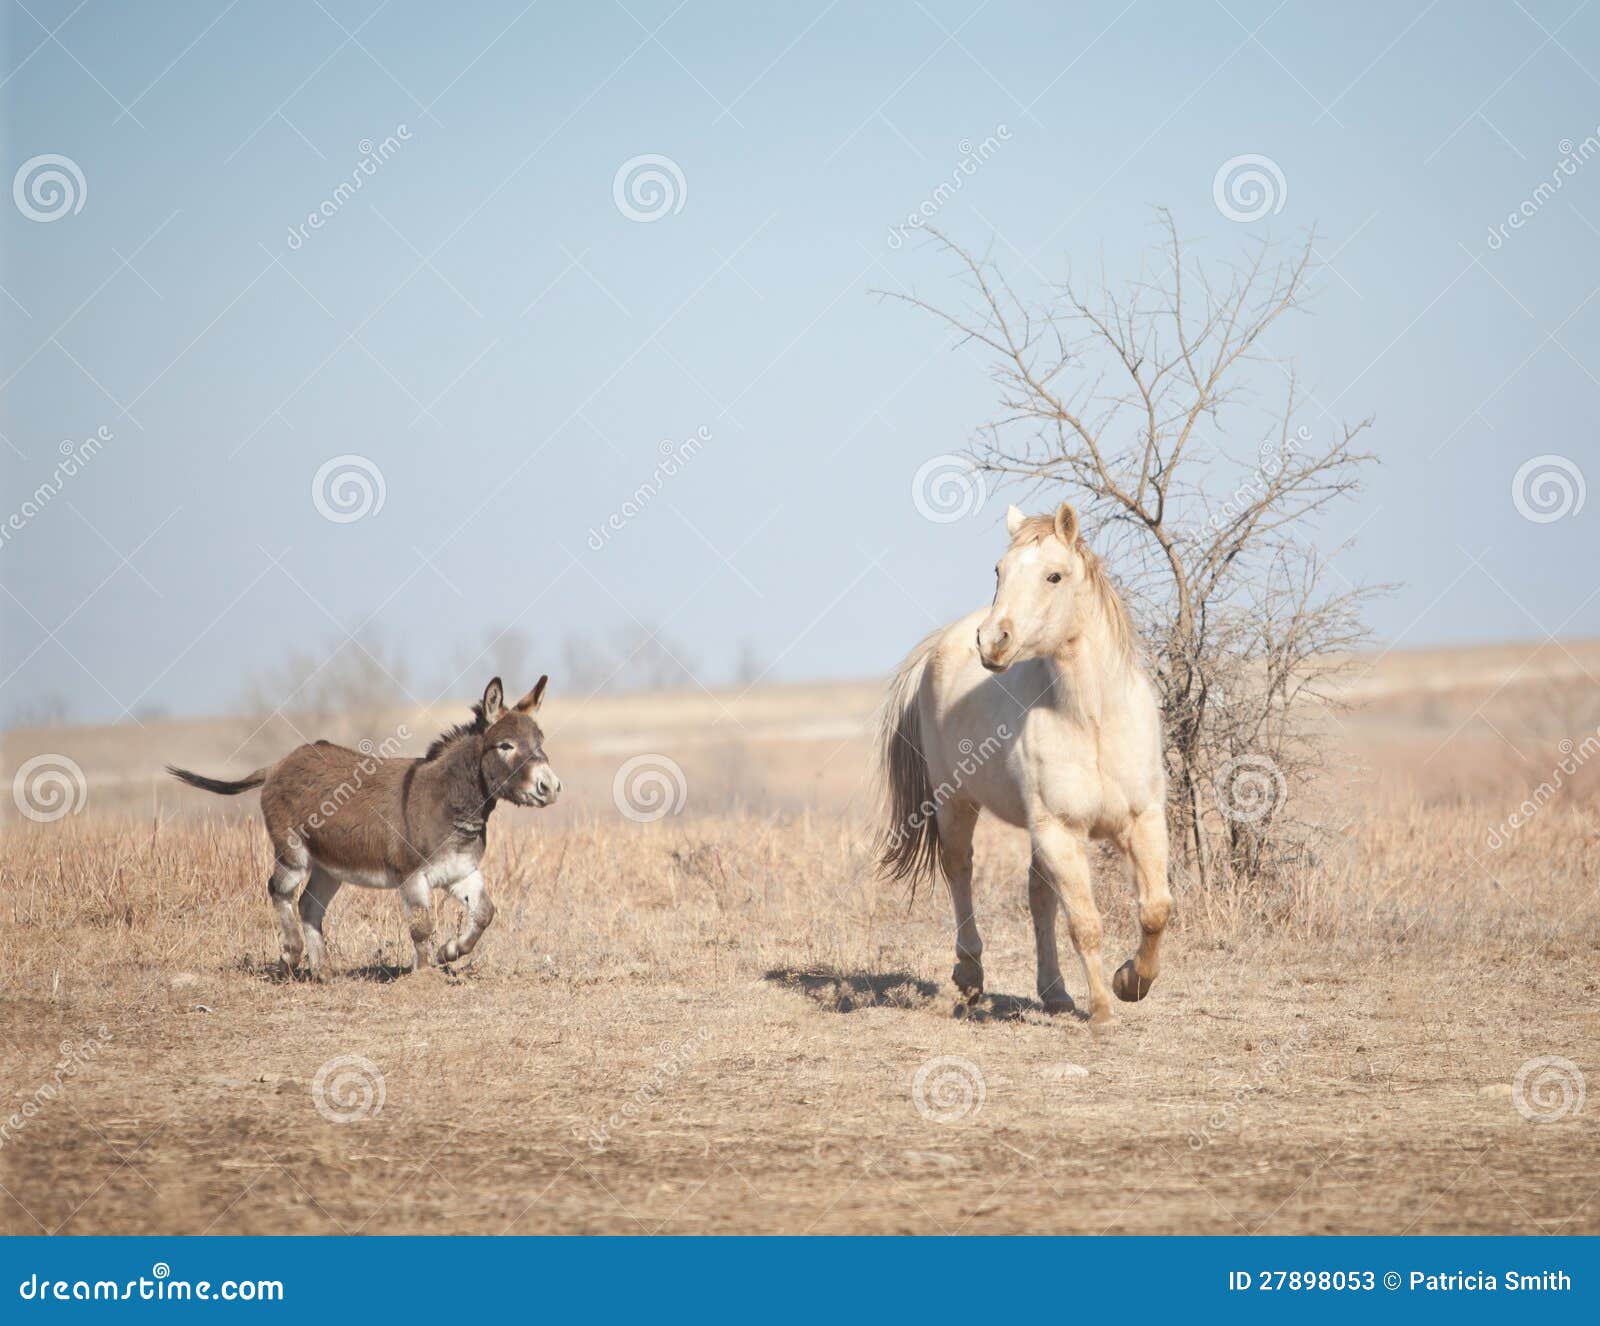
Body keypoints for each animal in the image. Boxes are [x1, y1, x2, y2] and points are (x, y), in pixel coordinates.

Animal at [167, 676, 560, 979]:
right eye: (505, 745)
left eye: (540, 743)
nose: (551, 787)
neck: (450, 801)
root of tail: (279, 763)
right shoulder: (411, 875)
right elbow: (421, 926)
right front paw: (423, 976)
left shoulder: (460, 871)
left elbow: (484, 913)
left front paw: (449, 952)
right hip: (293, 853)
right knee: (279, 890)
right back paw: (291, 955)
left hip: (329, 866)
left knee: (309, 905)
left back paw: (323, 971)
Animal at [876, 503, 1172, 1026]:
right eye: (999, 571)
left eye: (1054, 575)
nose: (993, 642)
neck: (1093, 718)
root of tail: (941, 644)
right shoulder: (1061, 830)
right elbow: (1086, 923)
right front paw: (1102, 1010)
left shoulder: (1143, 821)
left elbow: (1155, 909)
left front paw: (1130, 982)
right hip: (956, 804)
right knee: (960, 870)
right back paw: (970, 975)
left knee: (1039, 896)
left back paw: (1055, 993)